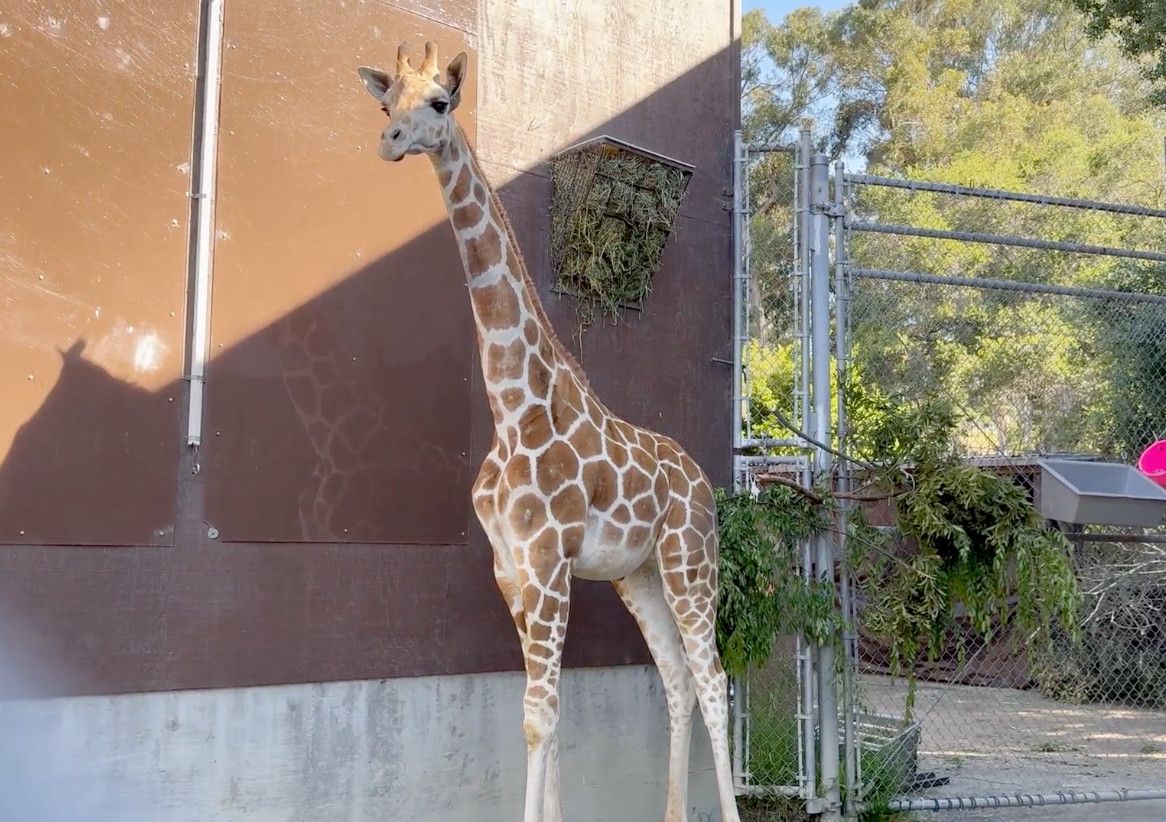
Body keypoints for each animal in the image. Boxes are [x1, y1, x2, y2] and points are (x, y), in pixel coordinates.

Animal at [356, 42, 742, 822]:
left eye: (439, 102)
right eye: (386, 103)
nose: (390, 141)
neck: (514, 404)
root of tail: (703, 481)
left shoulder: (549, 560)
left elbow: (540, 714)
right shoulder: (512, 568)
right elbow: (542, 714)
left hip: (691, 563)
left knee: (714, 678)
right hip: (638, 575)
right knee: (678, 680)